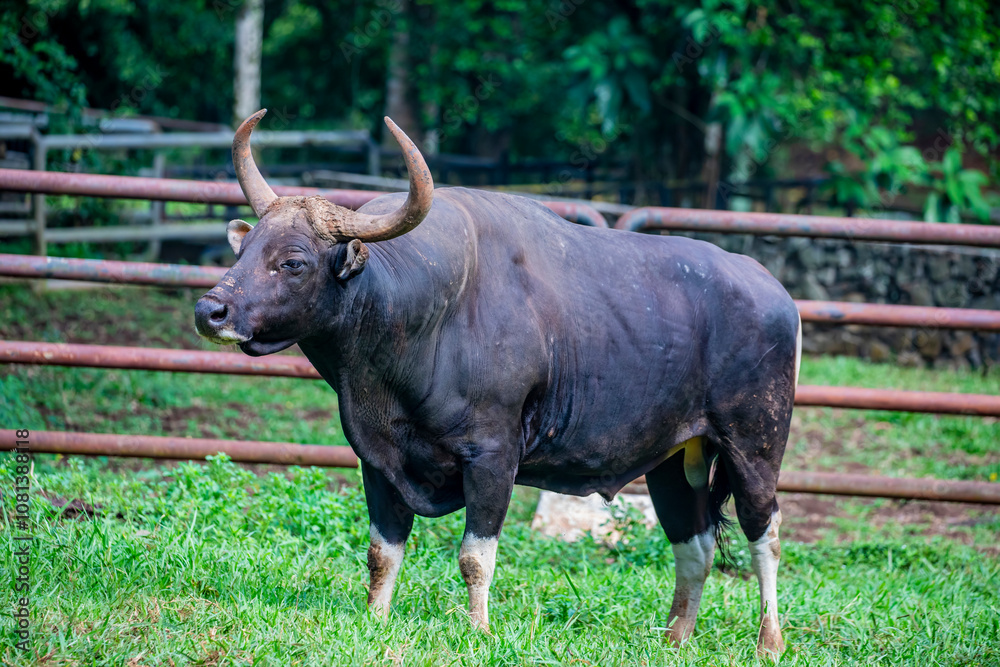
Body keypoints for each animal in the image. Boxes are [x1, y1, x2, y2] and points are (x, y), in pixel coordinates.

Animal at [195, 110, 800, 657]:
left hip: (755, 446)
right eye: (245, 249)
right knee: (693, 544)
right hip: (675, 460)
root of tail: (777, 293)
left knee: (765, 532)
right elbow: (382, 551)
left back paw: (768, 641)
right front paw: (375, 620)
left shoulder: (491, 457)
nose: (210, 310)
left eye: (293, 262)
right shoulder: (378, 459)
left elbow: (474, 555)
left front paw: (478, 629)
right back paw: (675, 637)